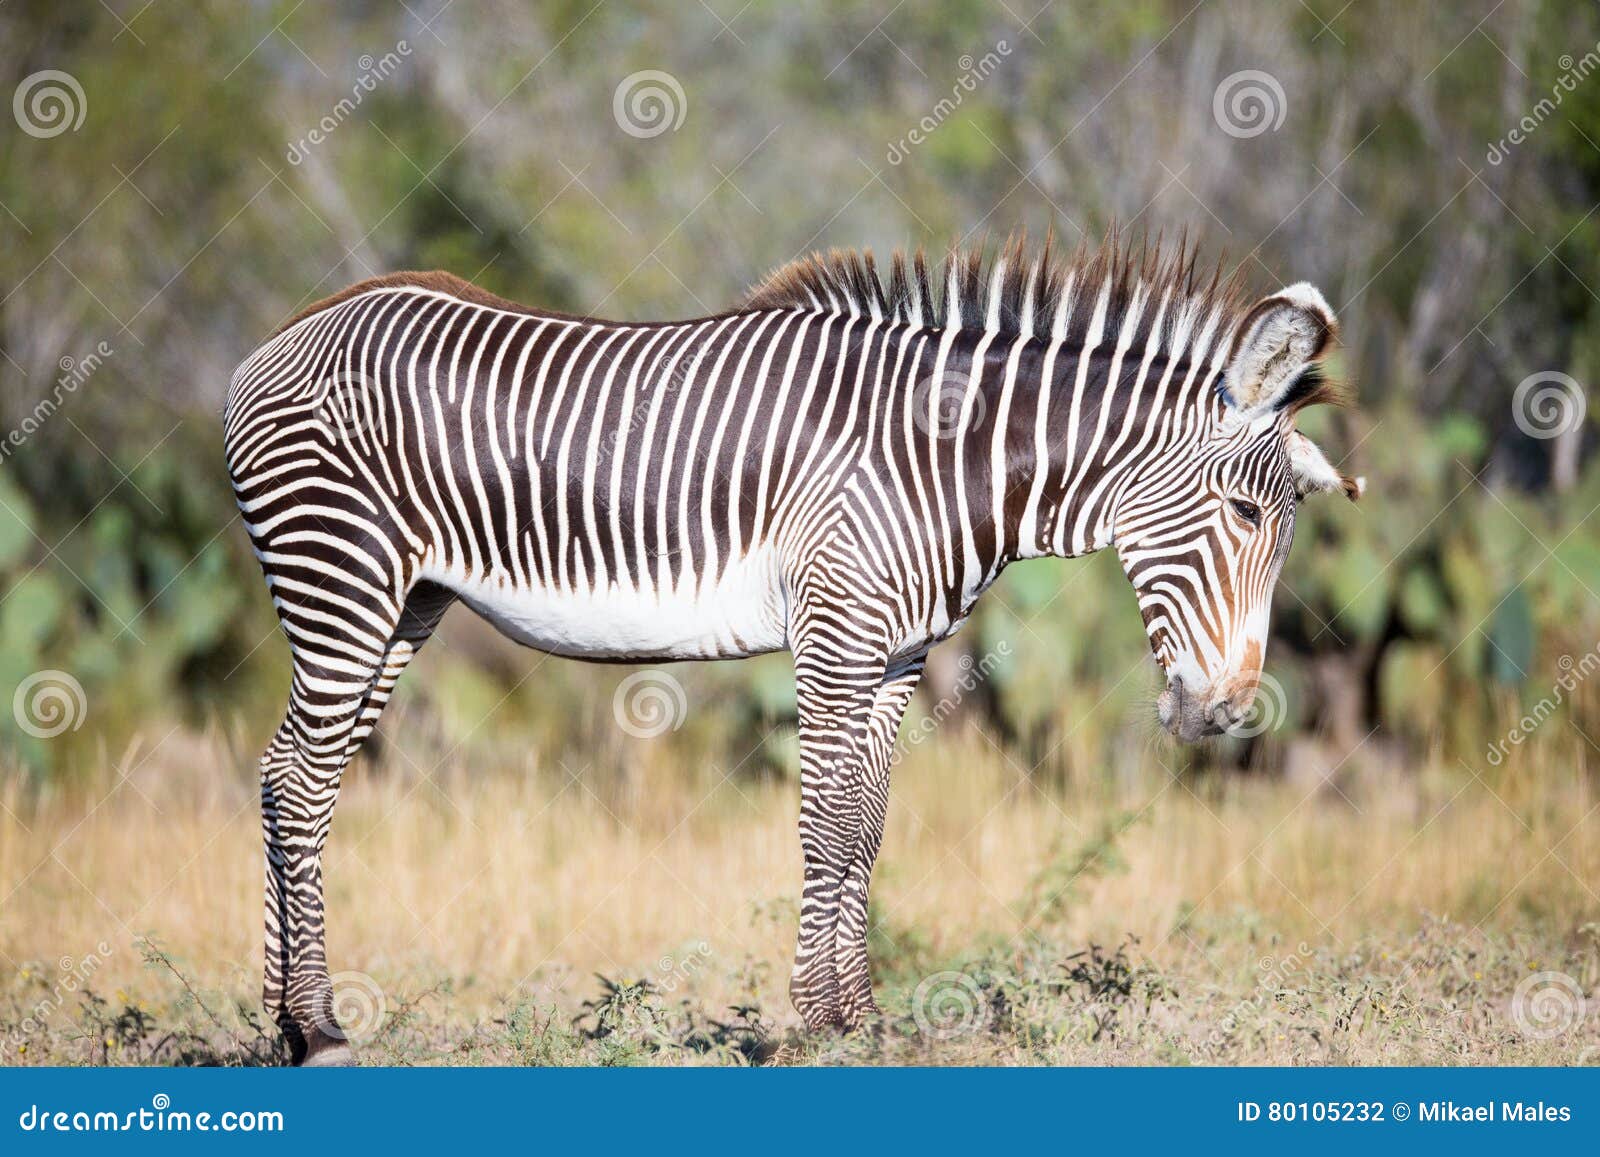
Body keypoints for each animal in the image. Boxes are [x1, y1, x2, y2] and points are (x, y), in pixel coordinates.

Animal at [224, 235, 1361, 1064]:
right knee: (298, 781)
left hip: (404, 603)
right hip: (342, 578)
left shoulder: (896, 656)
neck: (946, 457)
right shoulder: (837, 632)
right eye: (1240, 512)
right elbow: (826, 824)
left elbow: (866, 827)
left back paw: (279, 1025)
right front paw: (817, 1022)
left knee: (292, 777)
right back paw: (315, 1025)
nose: (1227, 712)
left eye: (1285, 528)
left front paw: (861, 1018)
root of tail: (286, 333)